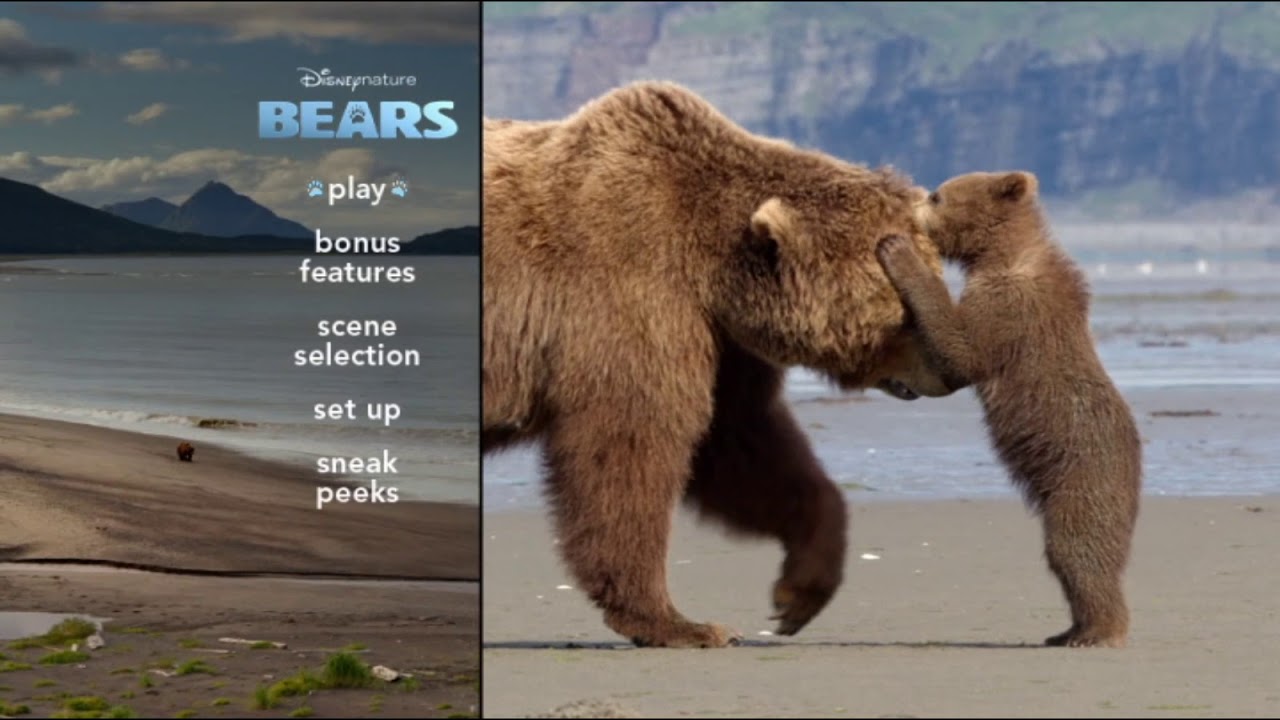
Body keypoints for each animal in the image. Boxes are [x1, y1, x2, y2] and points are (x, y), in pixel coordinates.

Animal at [483, 80, 957, 648]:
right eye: (903, 306)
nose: (947, 373)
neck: (713, 264)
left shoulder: (723, 342)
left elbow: (742, 446)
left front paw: (797, 594)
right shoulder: (633, 297)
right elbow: (632, 442)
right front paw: (682, 623)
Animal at [874, 170, 1142, 648]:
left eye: (937, 195)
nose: (910, 208)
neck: (999, 255)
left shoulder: (1008, 308)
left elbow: (960, 350)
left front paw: (897, 251)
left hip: (1083, 480)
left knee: (1076, 549)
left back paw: (1097, 631)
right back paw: (1067, 630)